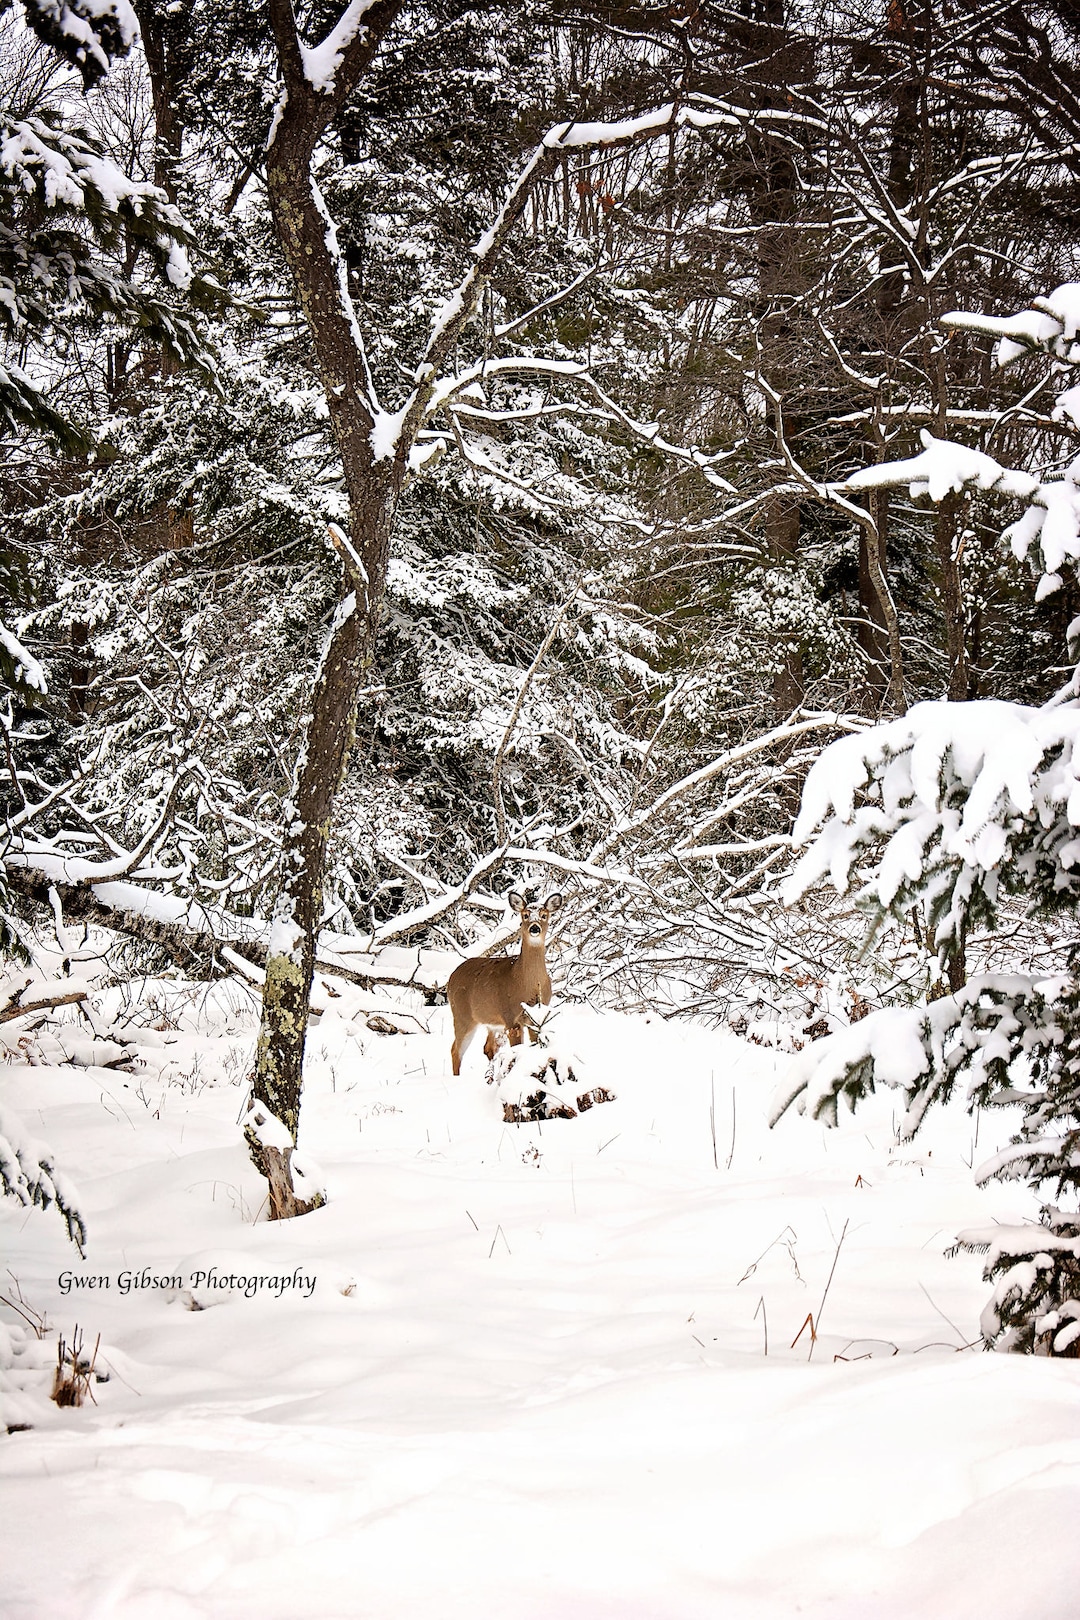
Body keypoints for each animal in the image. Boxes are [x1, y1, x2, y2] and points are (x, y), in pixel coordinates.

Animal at [447, 891, 563, 1075]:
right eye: (525, 915)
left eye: (544, 915)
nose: (535, 928)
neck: (526, 983)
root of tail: (451, 978)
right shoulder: (511, 1017)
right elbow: (516, 1051)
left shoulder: (537, 1016)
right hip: (461, 1015)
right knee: (455, 1050)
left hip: (490, 1021)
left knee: (487, 1047)